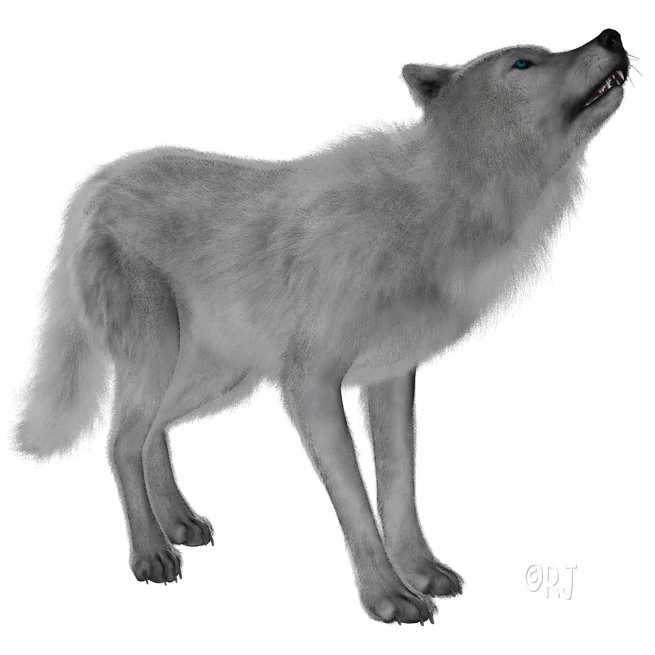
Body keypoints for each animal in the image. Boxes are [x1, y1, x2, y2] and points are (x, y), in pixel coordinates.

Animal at [6, 28, 631, 626]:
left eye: (543, 51)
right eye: (523, 64)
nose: (614, 39)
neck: (435, 211)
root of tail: (94, 189)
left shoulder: (391, 379)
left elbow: (399, 491)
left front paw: (423, 574)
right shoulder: (310, 384)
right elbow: (355, 503)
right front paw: (388, 600)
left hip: (219, 378)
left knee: (149, 432)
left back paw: (181, 524)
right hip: (171, 361)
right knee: (117, 440)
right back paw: (151, 554)